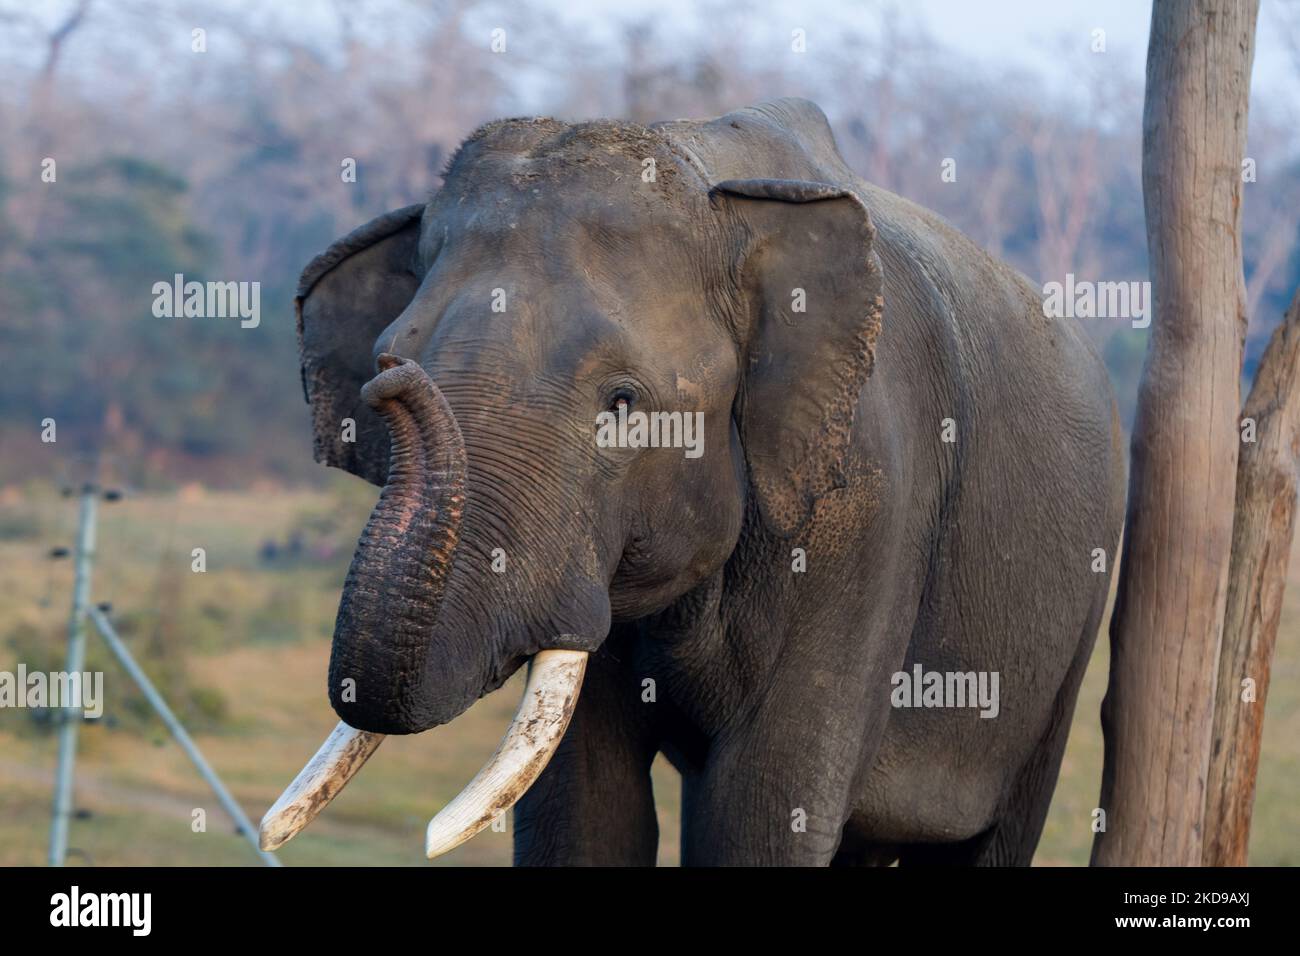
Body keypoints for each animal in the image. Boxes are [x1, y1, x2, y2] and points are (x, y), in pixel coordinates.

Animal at [262, 97, 1125, 866]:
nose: (391, 380)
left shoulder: (869, 510)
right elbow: (584, 809)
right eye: (387, 356)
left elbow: (760, 815)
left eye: (621, 403)